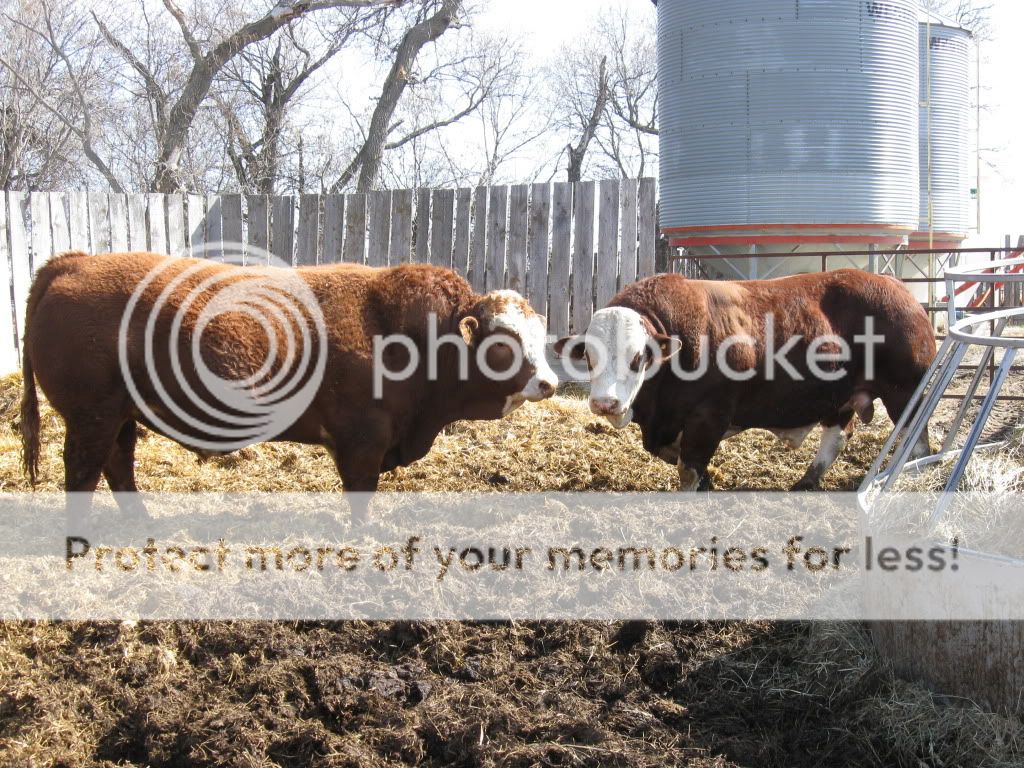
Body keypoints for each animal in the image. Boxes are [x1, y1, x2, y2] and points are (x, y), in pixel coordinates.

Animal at [21, 251, 557, 524]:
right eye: (503, 343)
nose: (549, 382)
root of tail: (73, 262)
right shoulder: (362, 441)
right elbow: (361, 497)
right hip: (91, 418)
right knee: (83, 474)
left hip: (119, 416)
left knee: (119, 466)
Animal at [556, 270, 936, 491]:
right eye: (589, 357)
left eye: (638, 357)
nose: (605, 403)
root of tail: (899, 290)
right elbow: (680, 459)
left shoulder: (710, 414)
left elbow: (688, 469)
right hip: (839, 397)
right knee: (838, 435)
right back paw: (807, 480)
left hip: (904, 391)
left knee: (917, 438)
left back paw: (914, 473)